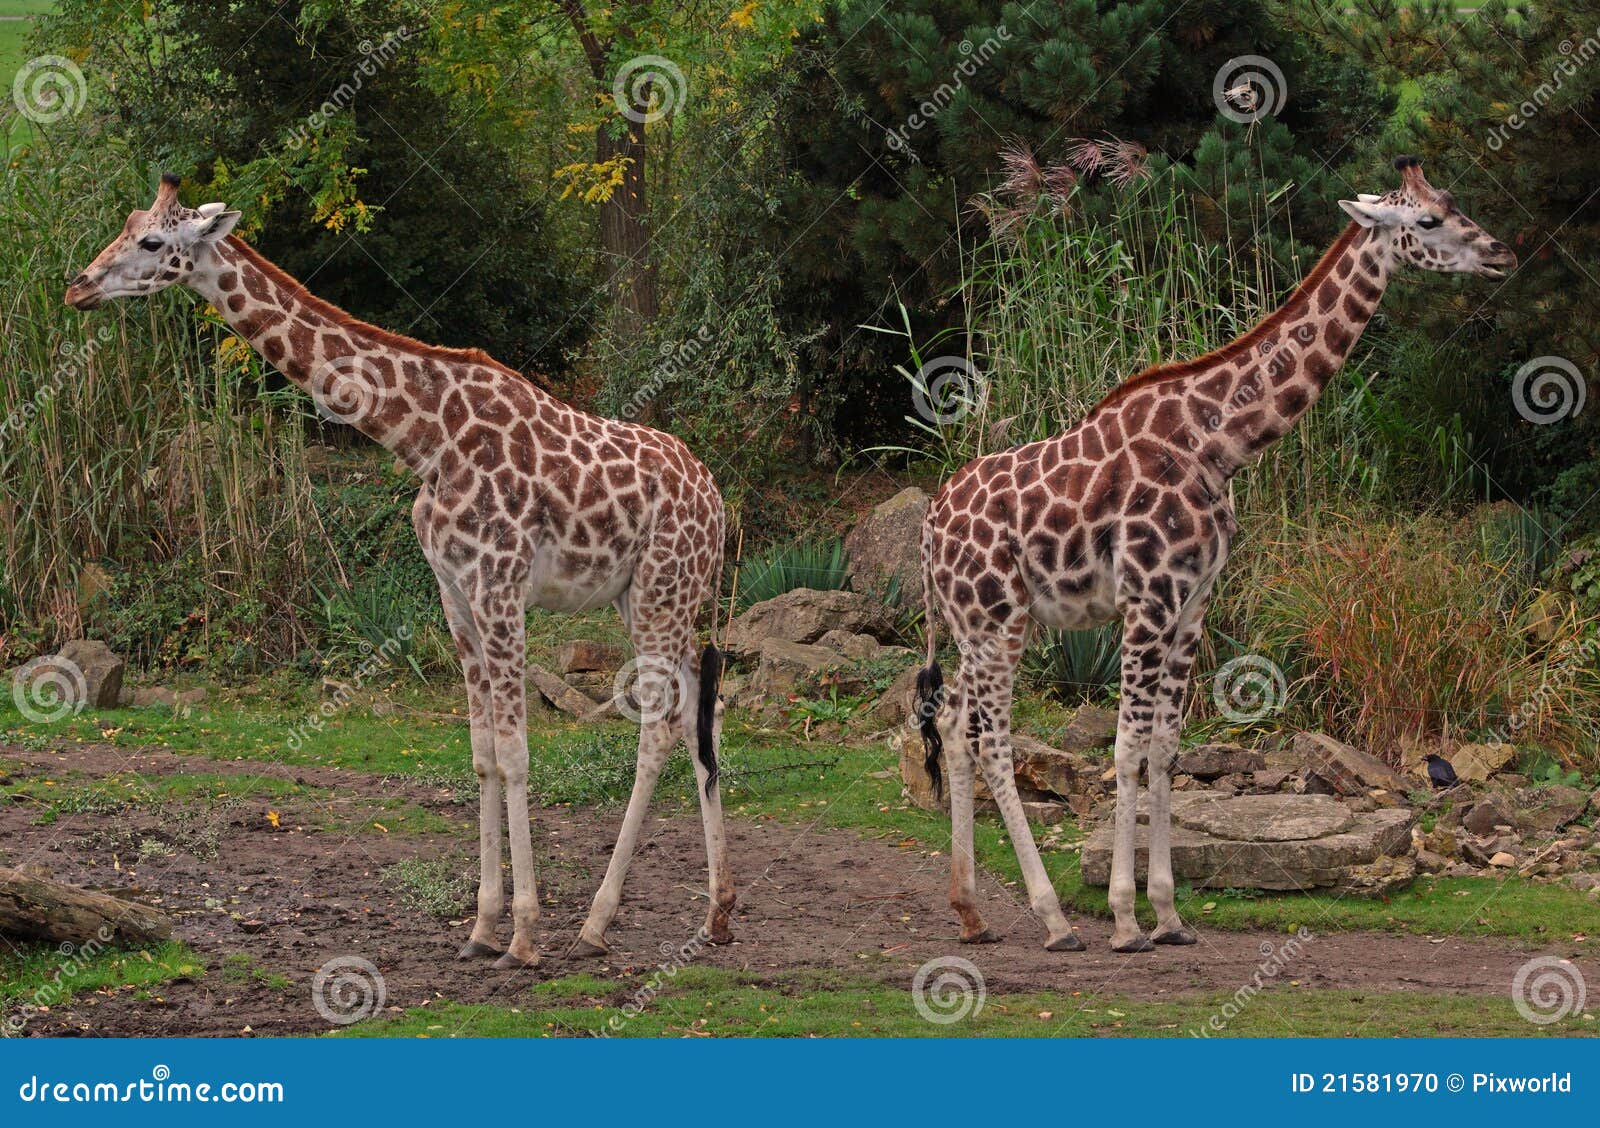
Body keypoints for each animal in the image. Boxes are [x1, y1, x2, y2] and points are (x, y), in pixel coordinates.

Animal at [66, 174, 735, 969]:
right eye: (126, 221)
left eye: (150, 240)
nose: (78, 287)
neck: (422, 438)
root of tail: (717, 498)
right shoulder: (454, 595)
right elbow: (481, 753)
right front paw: (481, 927)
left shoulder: (500, 586)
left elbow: (516, 753)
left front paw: (524, 936)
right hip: (652, 596)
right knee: (698, 714)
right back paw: (717, 914)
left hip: (663, 589)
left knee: (656, 729)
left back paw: (597, 922)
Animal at [913, 157, 1515, 953]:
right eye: (1427, 221)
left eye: (1452, 204)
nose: (1502, 254)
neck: (1221, 440)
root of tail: (928, 526)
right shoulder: (1147, 597)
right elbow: (1126, 748)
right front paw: (1125, 919)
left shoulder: (1194, 601)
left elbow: (1167, 749)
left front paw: (1169, 915)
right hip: (996, 621)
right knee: (991, 740)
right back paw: (1053, 919)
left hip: (975, 624)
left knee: (954, 726)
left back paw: (972, 911)